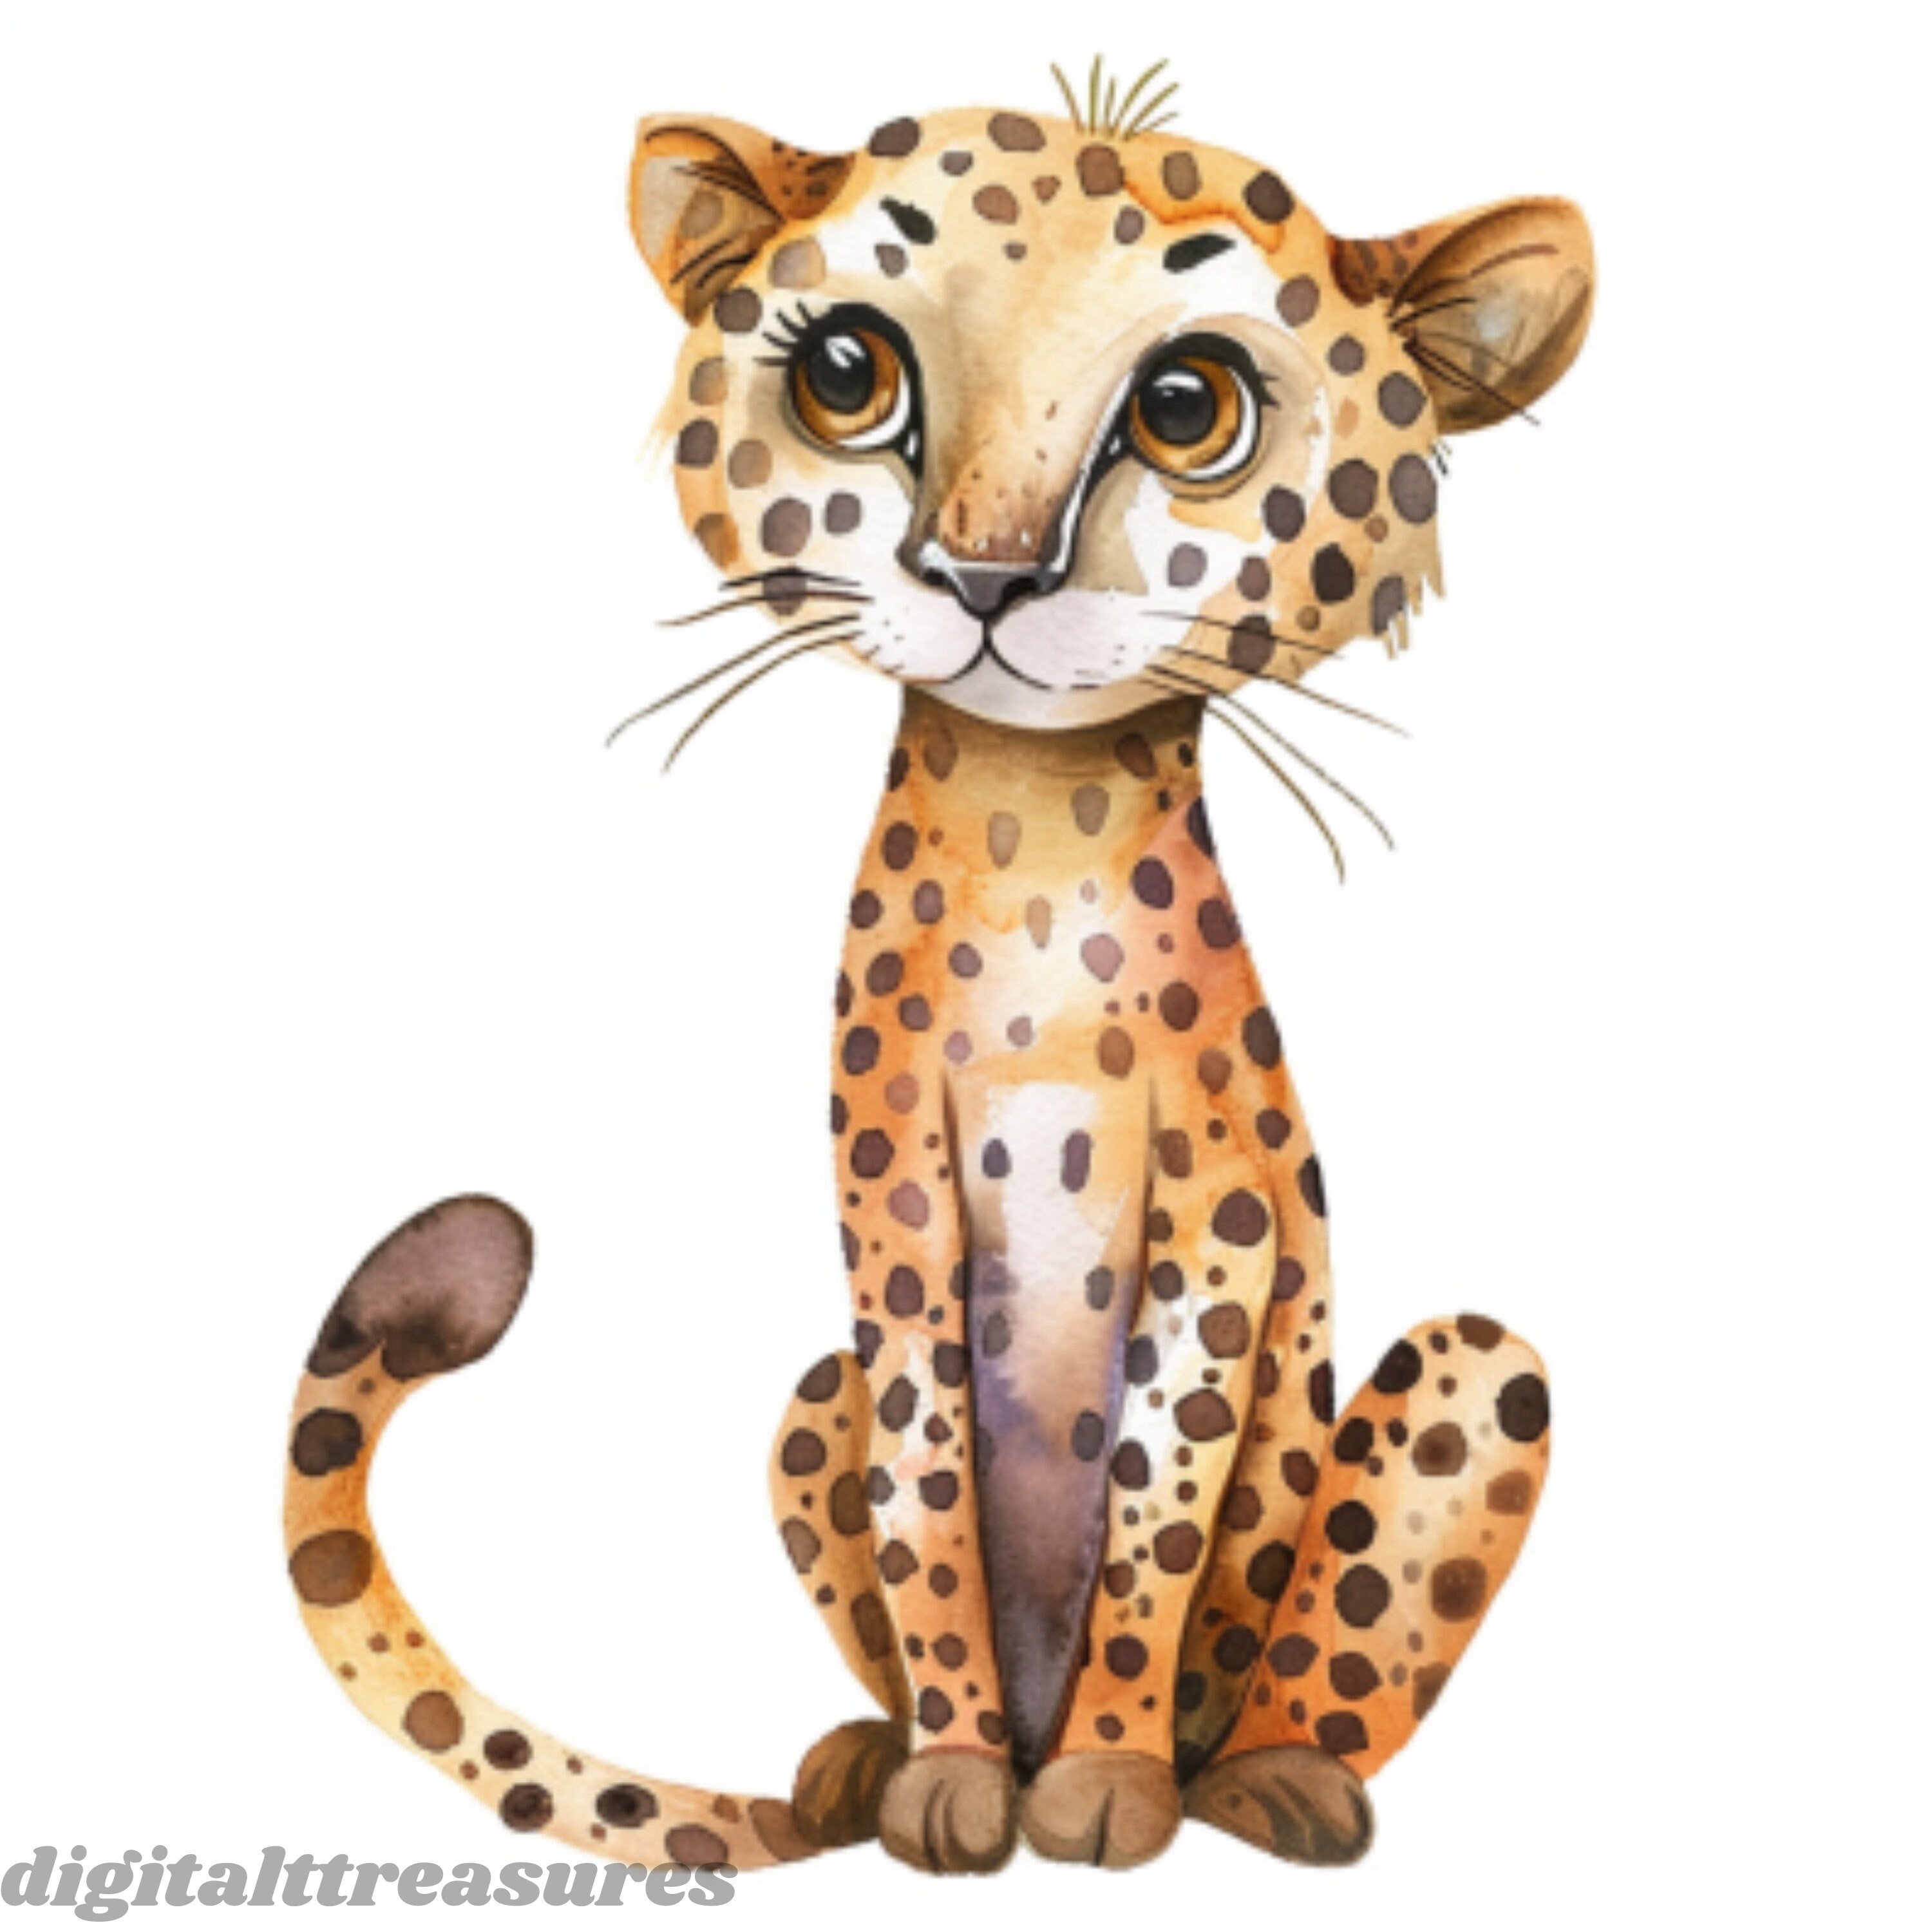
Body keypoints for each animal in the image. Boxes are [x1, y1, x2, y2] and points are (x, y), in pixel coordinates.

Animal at [284, 74, 1593, 1877]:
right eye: (848, 371)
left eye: (1185, 405)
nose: (981, 573)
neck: (1031, 829)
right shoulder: (895, 1214)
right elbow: (923, 1501)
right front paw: (957, 1776)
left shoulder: (1219, 1224)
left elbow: (1157, 1508)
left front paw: (1102, 1781)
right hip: (803, 1395)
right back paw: (868, 1759)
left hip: (1484, 1371)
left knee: (1303, 1667)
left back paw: (1259, 1778)